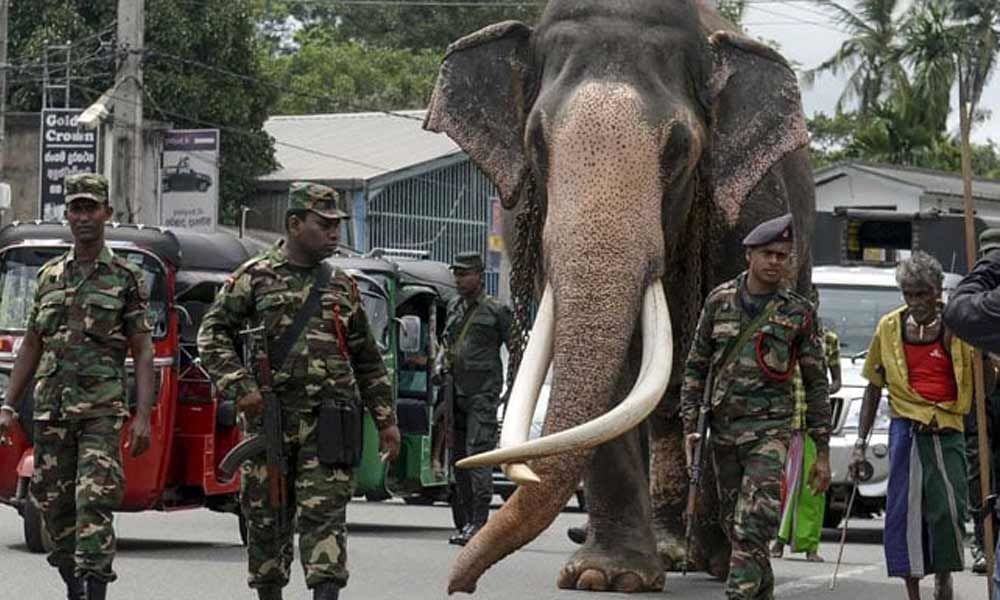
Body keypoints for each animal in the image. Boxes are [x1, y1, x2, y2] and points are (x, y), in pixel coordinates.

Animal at [423, 0, 816, 594]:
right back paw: (676, 554)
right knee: (668, 401)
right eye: (536, 142)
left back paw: (712, 558)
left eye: (679, 148)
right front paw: (605, 577)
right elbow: (620, 381)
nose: (458, 584)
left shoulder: (748, 213)